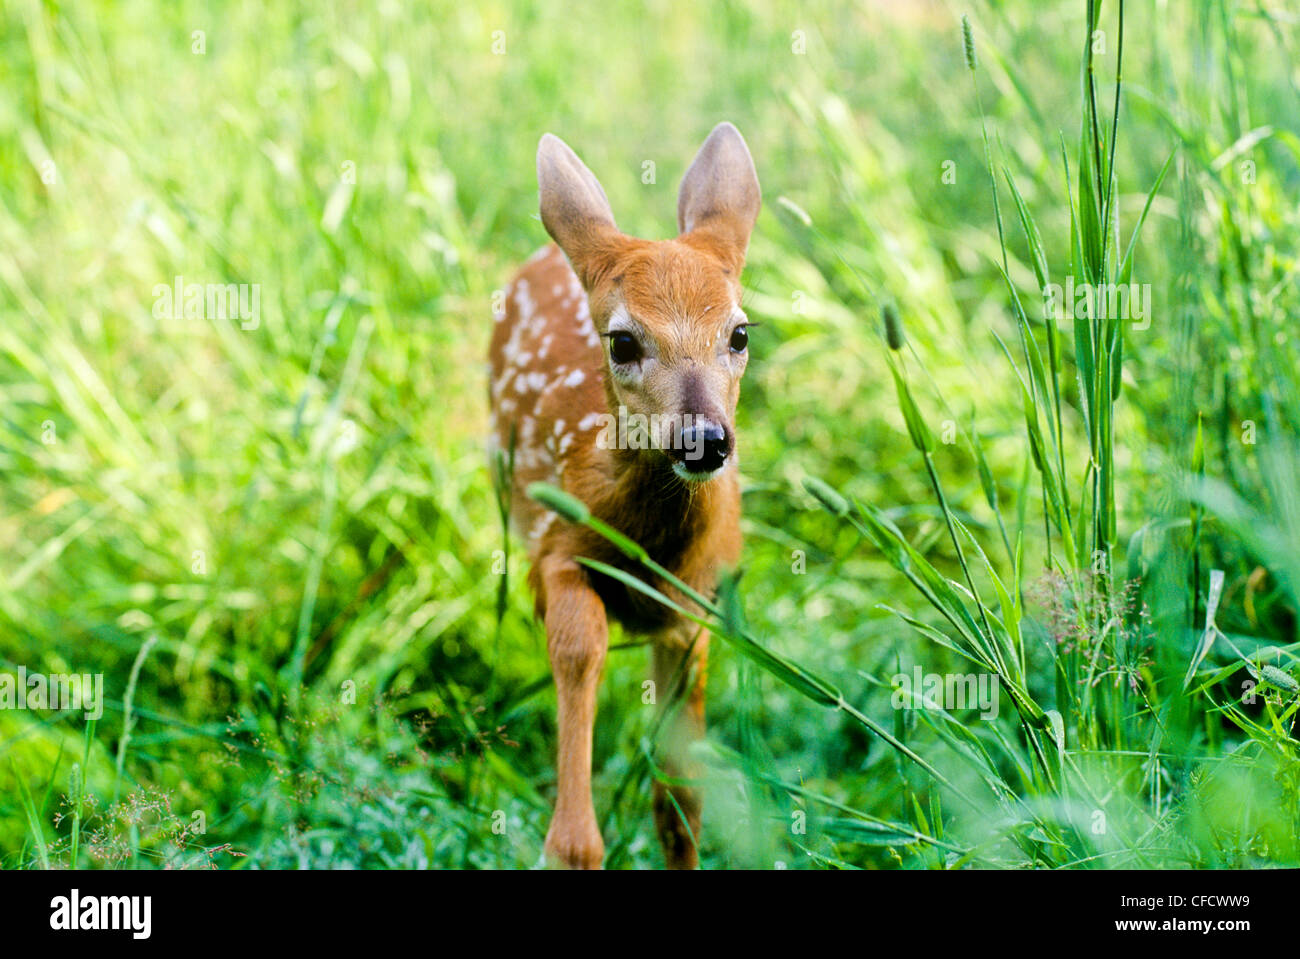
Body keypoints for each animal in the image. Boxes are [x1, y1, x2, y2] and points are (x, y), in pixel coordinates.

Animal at [487, 123, 761, 869]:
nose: (703, 440)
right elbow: (580, 647)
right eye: (622, 341)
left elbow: (681, 803)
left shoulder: (694, 603)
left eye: (739, 333)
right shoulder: (556, 553)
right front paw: (572, 838)